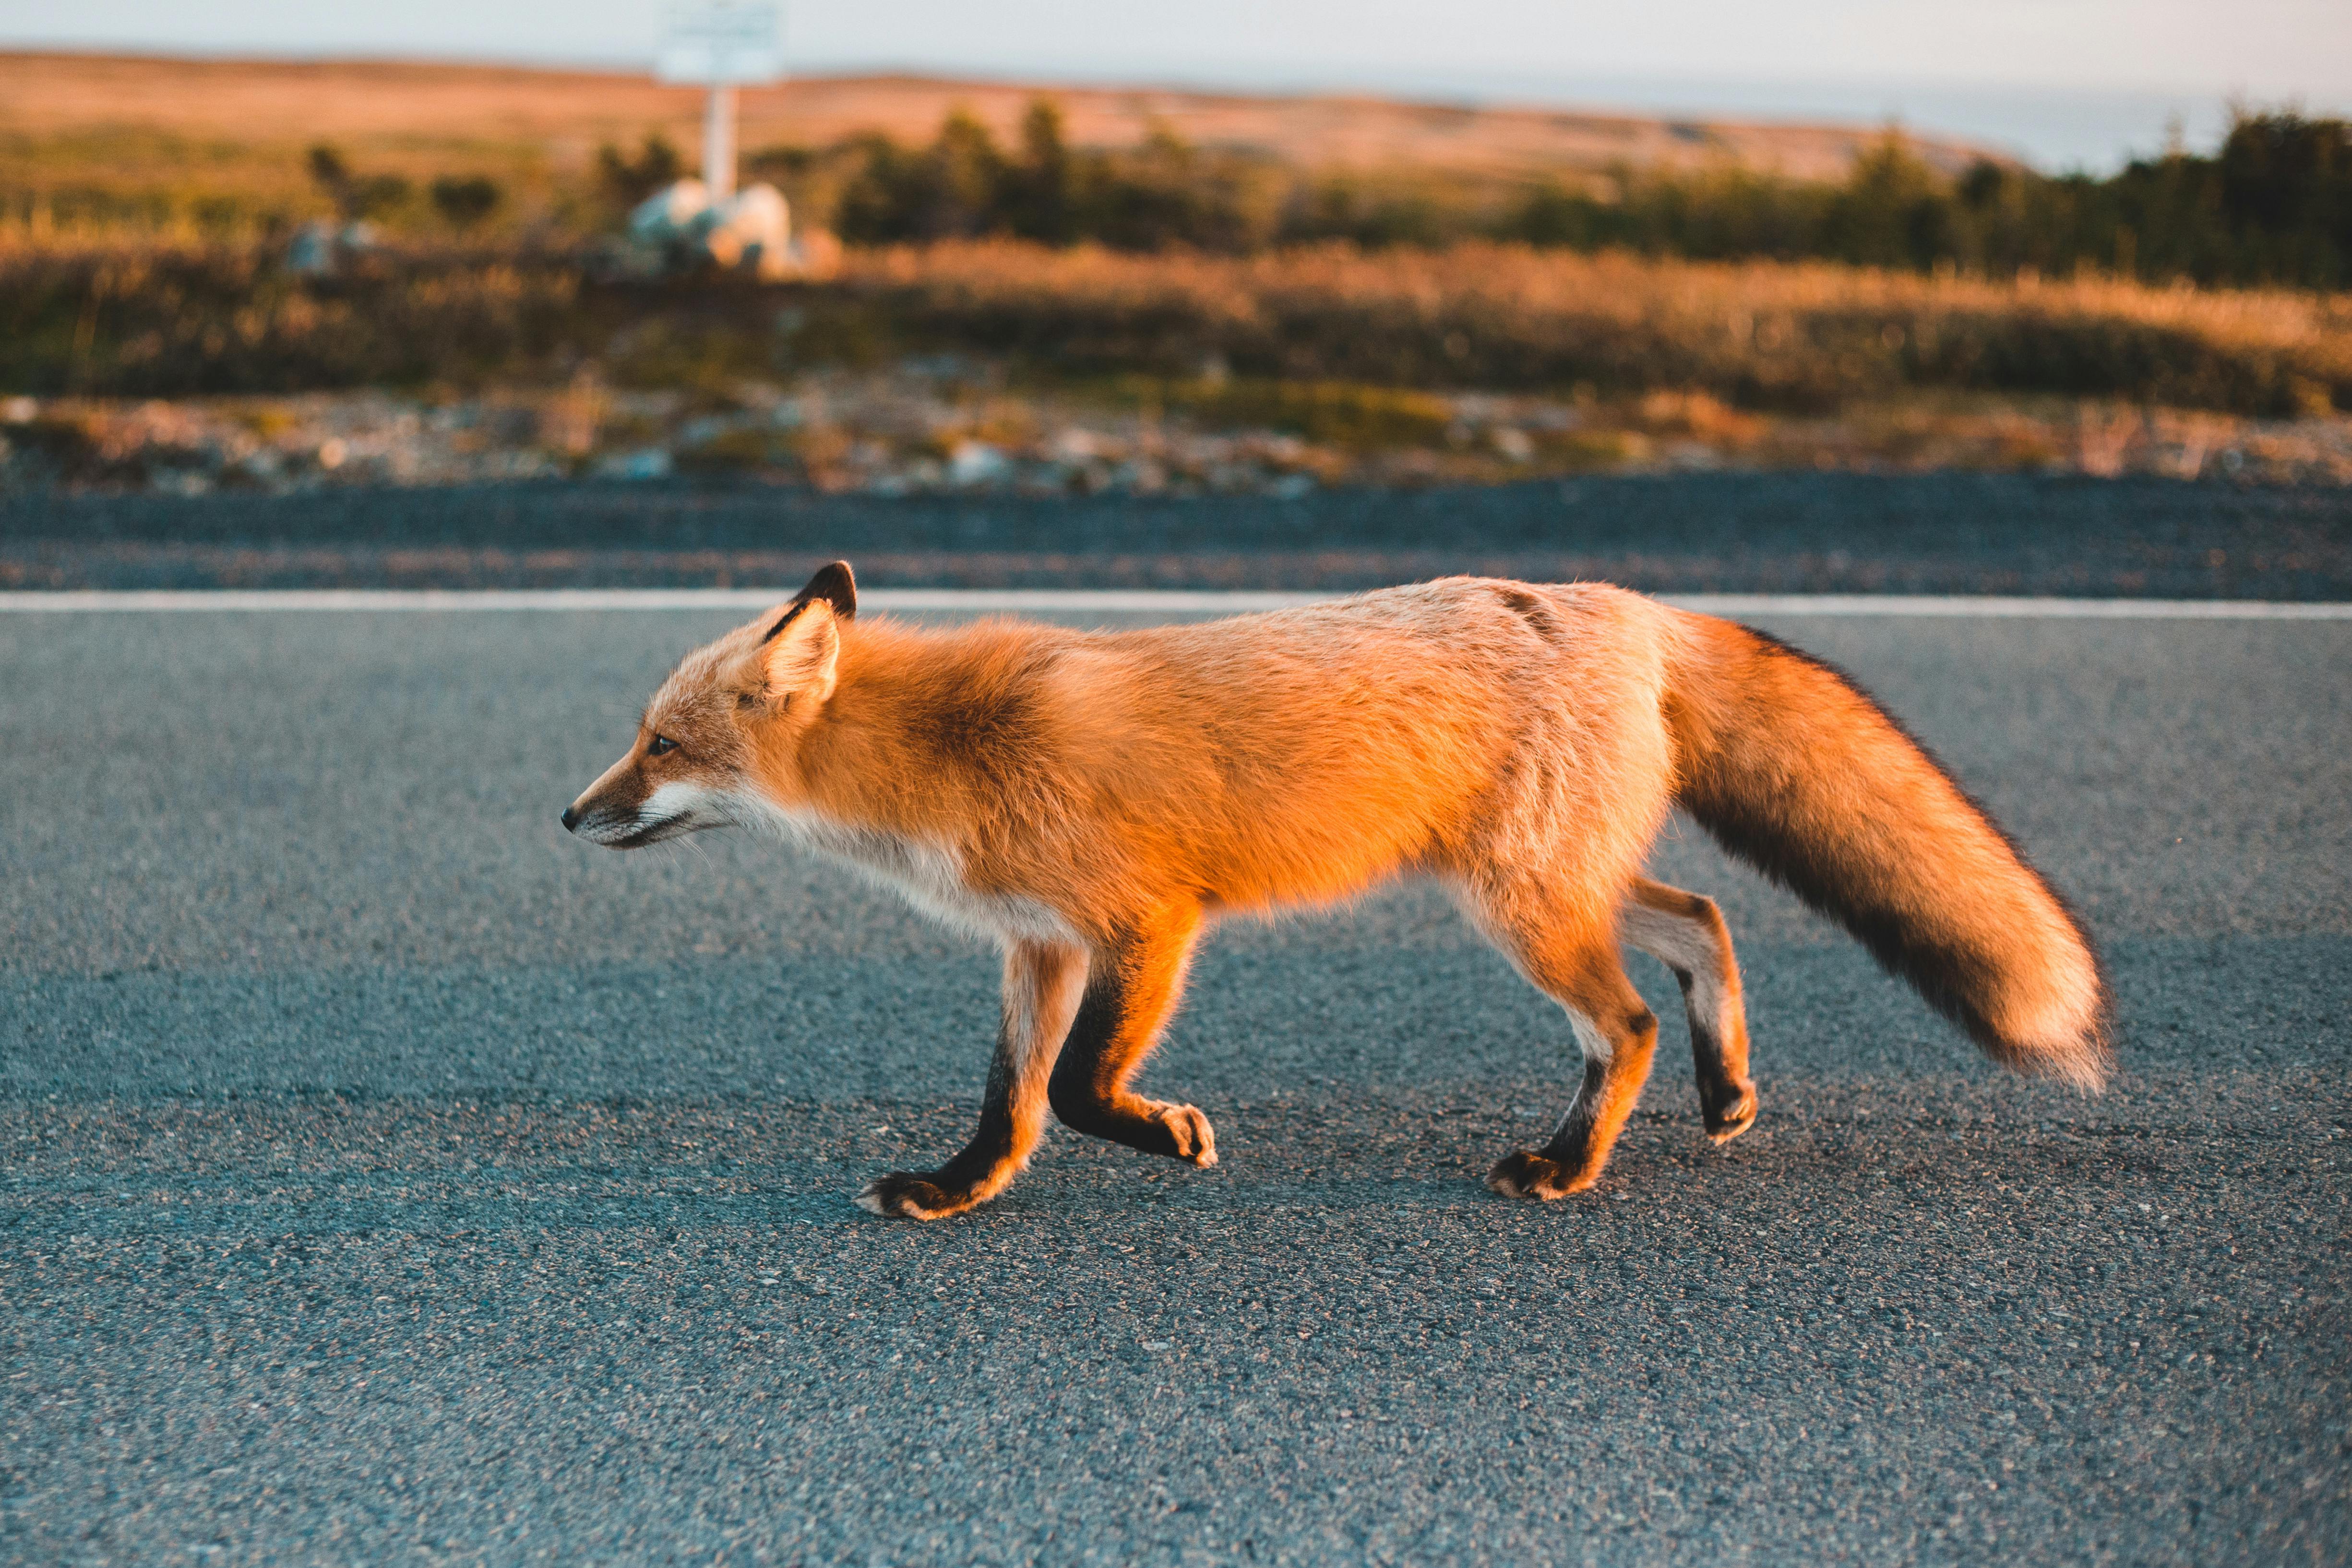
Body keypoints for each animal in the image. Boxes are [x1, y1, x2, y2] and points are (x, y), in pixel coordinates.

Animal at [562, 561, 2110, 1220]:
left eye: (660, 746)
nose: (571, 813)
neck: (951, 750)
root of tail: (1629, 604)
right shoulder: (1039, 944)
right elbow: (1012, 1101)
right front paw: (957, 1190)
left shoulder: (1148, 919)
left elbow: (1084, 1091)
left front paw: (1169, 1133)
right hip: (1544, 882)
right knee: (1703, 919)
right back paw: (1723, 1090)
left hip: (1518, 904)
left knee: (1622, 1020)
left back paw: (1567, 1165)